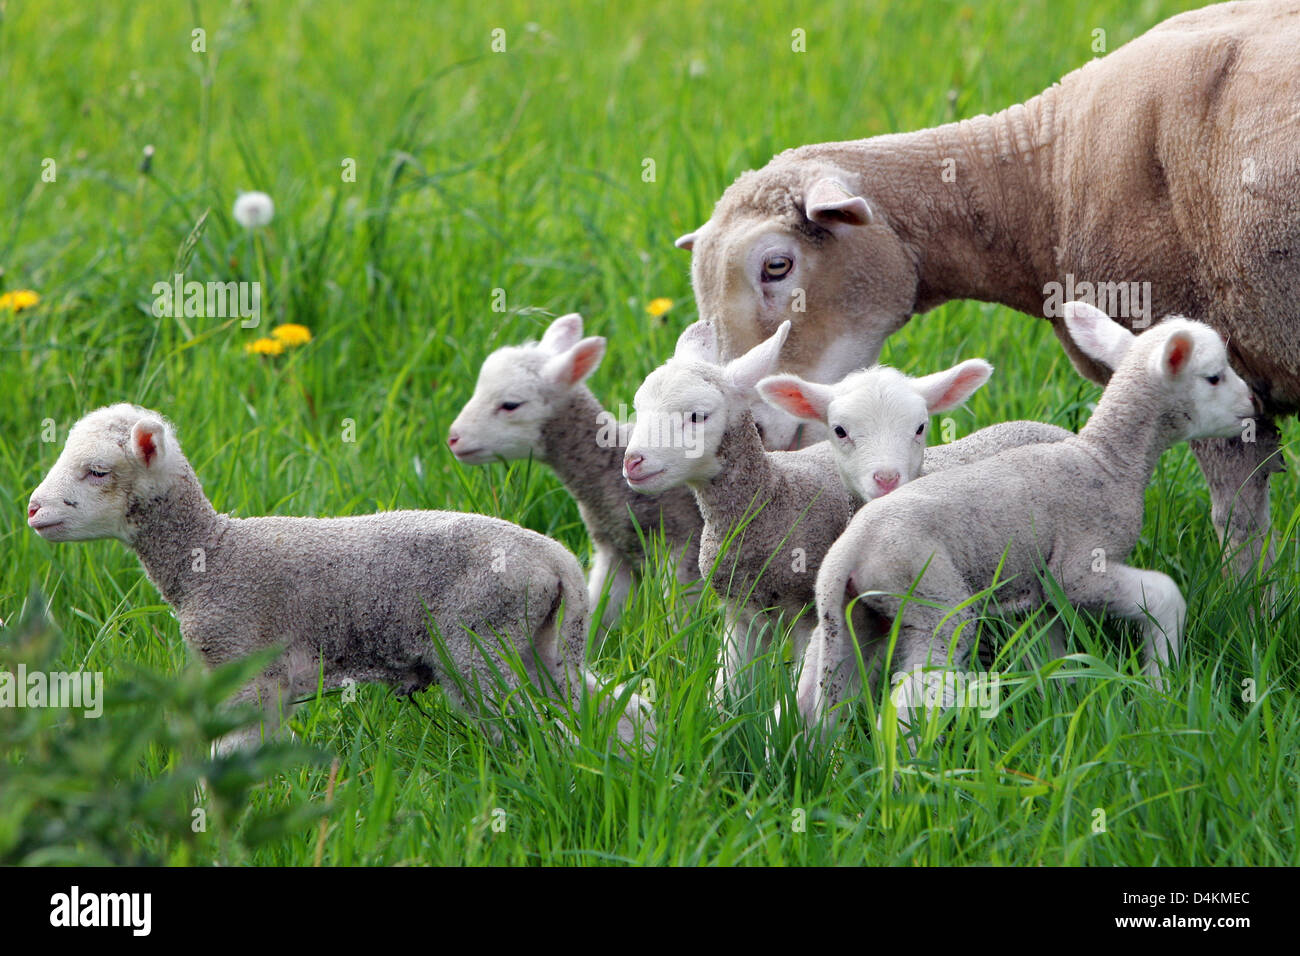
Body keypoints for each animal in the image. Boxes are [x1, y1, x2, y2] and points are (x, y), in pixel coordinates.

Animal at [27, 404, 652, 752]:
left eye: (97, 471)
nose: (32, 509)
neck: (211, 555)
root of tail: (557, 560)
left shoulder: (246, 665)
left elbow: (231, 755)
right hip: (541, 643)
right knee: (610, 709)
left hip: (479, 644)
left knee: (543, 731)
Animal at [448, 313, 703, 628]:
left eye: (510, 405)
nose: (453, 438)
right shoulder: (614, 549)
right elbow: (597, 612)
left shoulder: (683, 542)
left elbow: (679, 617)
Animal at [800, 303, 1257, 740]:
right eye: (1214, 377)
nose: (1252, 407)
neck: (1106, 459)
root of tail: (849, 551)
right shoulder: (1078, 568)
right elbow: (1164, 595)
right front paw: (1160, 688)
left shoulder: (1039, 590)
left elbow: (1051, 654)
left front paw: (1062, 698)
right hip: (930, 597)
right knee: (908, 704)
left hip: (849, 616)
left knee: (815, 697)